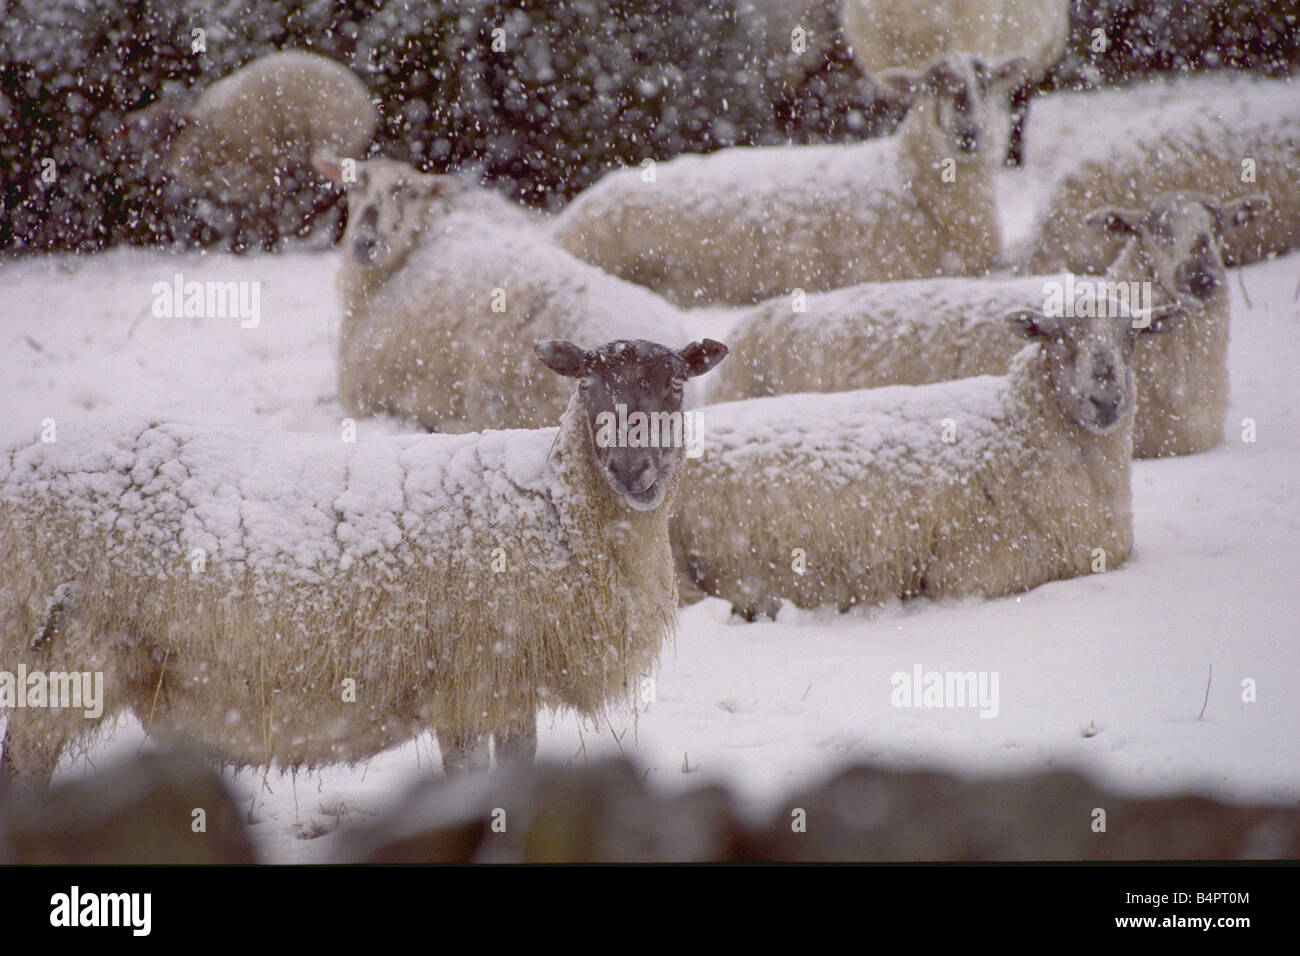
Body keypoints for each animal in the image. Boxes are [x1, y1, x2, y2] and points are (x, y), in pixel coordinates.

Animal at [0, 338, 730, 786]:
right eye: (590, 386)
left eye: (674, 387)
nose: (636, 471)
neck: (551, 503)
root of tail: (17, 460)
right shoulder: (470, 678)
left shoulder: (506, 685)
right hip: (59, 657)